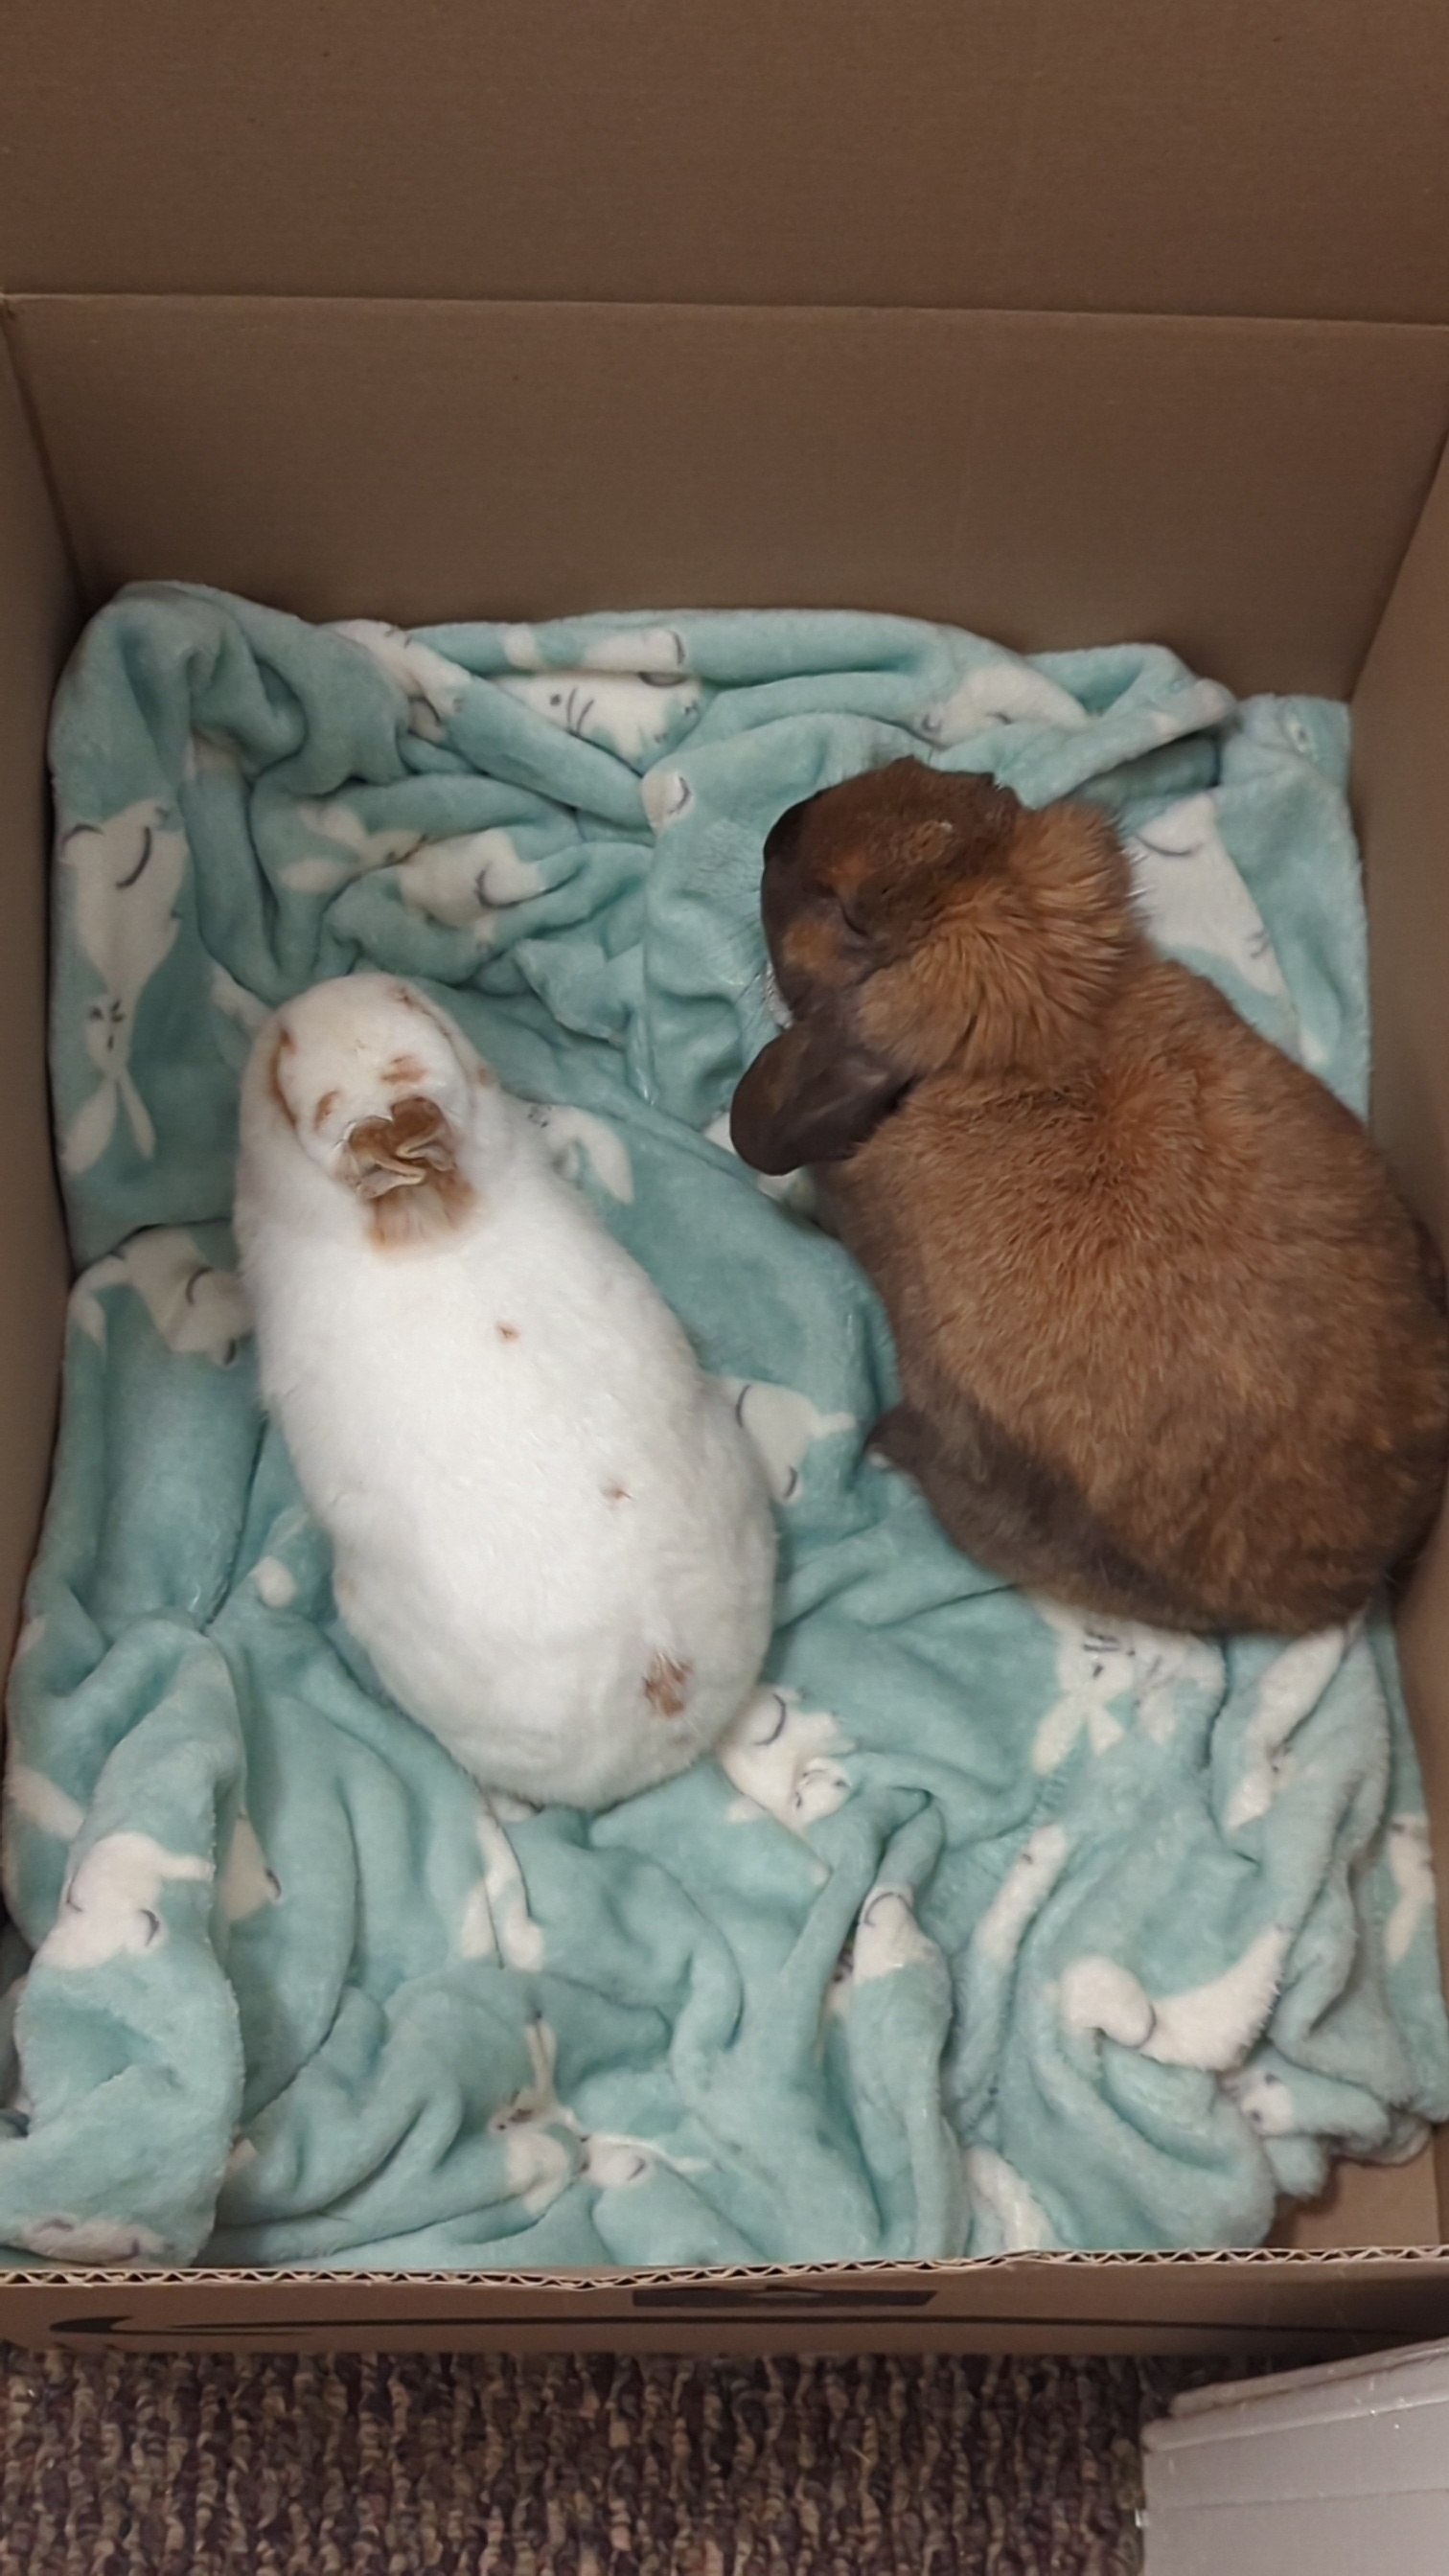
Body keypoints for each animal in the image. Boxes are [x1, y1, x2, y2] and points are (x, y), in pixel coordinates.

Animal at [730, 758, 1449, 1636]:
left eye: (847, 913)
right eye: (953, 778)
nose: (781, 828)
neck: (1041, 1053)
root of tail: (1349, 1584)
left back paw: (891, 1439)